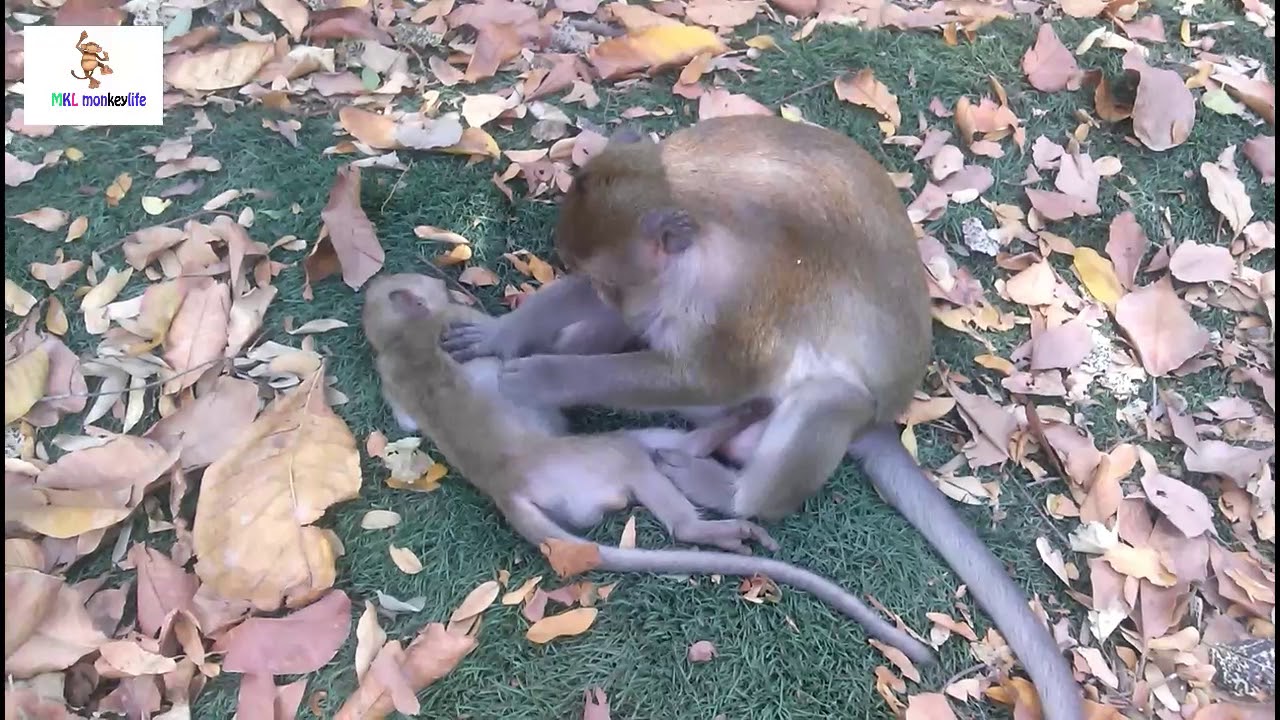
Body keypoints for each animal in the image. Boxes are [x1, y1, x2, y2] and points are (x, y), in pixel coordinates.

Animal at [362, 272, 936, 663]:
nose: (445, 283)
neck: (402, 340)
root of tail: (506, 488)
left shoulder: (396, 377)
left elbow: (408, 414)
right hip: (592, 462)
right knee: (641, 463)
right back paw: (713, 504)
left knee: (661, 441)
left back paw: (721, 438)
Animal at [439, 117, 1083, 720]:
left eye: (606, 279)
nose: (610, 298)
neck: (693, 208)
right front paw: (507, 334)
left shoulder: (746, 292)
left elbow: (718, 372)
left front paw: (544, 375)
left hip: (831, 408)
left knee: (819, 400)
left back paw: (718, 481)